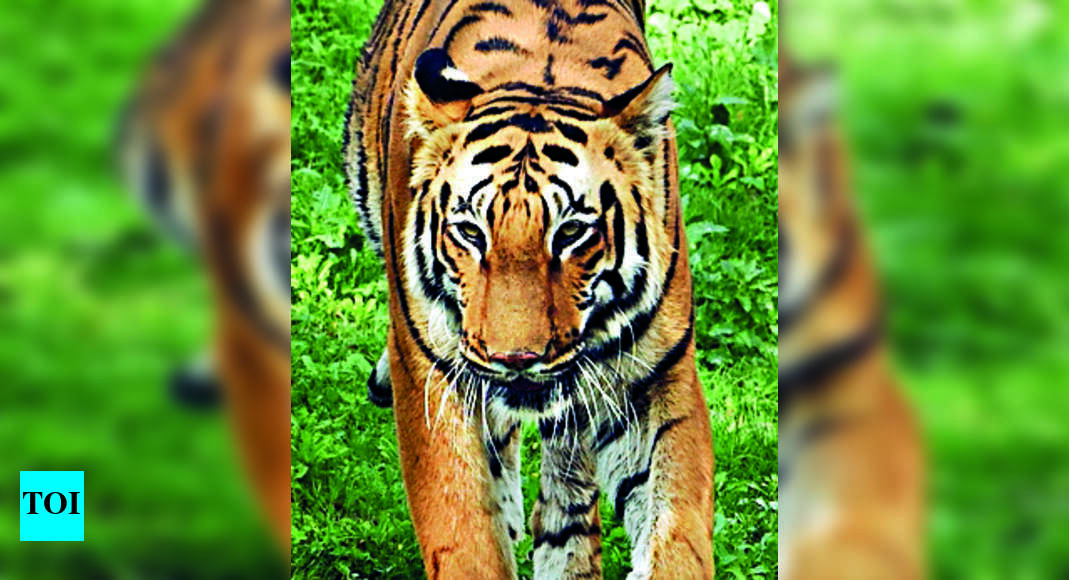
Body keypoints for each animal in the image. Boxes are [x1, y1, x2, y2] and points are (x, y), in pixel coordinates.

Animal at [342, 0, 714, 577]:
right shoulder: (435, 379)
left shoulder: (658, 377)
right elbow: (463, 530)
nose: (515, 359)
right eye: (471, 232)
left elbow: (677, 528)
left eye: (572, 232)